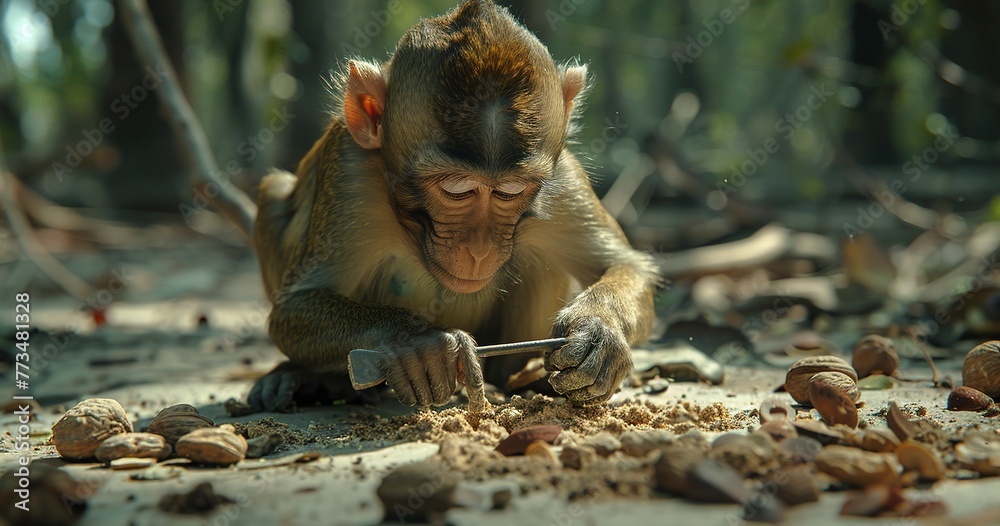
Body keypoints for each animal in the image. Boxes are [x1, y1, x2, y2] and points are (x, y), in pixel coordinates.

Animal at [248, 0, 661, 413]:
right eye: (456, 190)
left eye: (510, 192)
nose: (478, 251)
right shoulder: (350, 173)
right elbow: (293, 306)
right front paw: (414, 342)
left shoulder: (563, 181)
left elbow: (624, 264)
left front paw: (599, 331)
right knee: (274, 193)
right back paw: (305, 378)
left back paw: (523, 376)